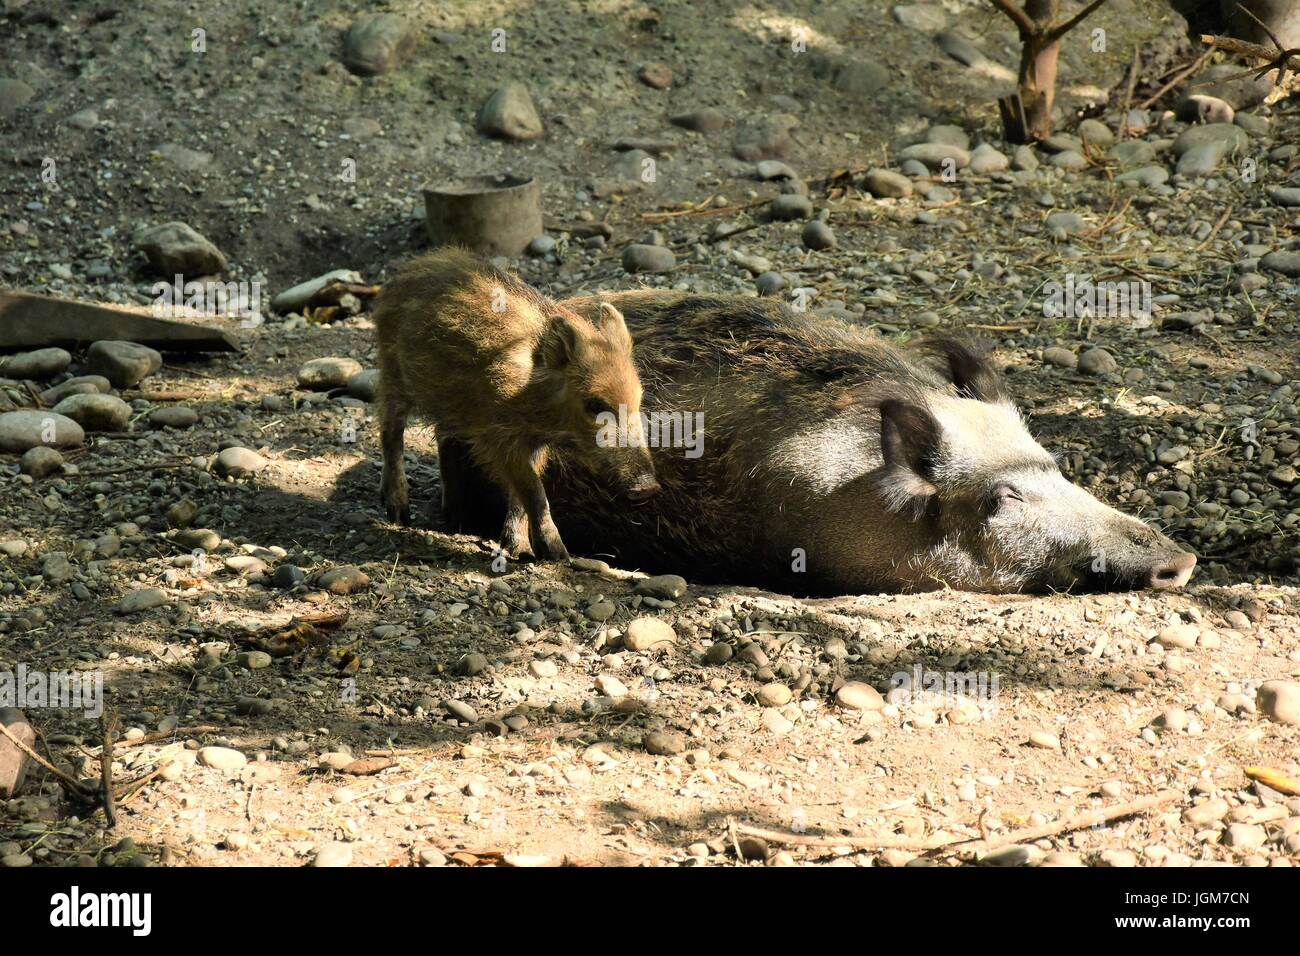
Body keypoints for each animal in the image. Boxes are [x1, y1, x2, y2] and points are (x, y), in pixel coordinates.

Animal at [372, 247, 658, 561]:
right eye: (594, 405)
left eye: (638, 401)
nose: (649, 486)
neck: (533, 395)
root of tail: (409, 268)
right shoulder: (498, 437)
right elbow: (533, 489)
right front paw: (557, 554)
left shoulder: (535, 444)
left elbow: (522, 493)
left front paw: (519, 548)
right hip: (392, 373)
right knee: (390, 431)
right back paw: (398, 514)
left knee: (443, 439)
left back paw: (453, 517)